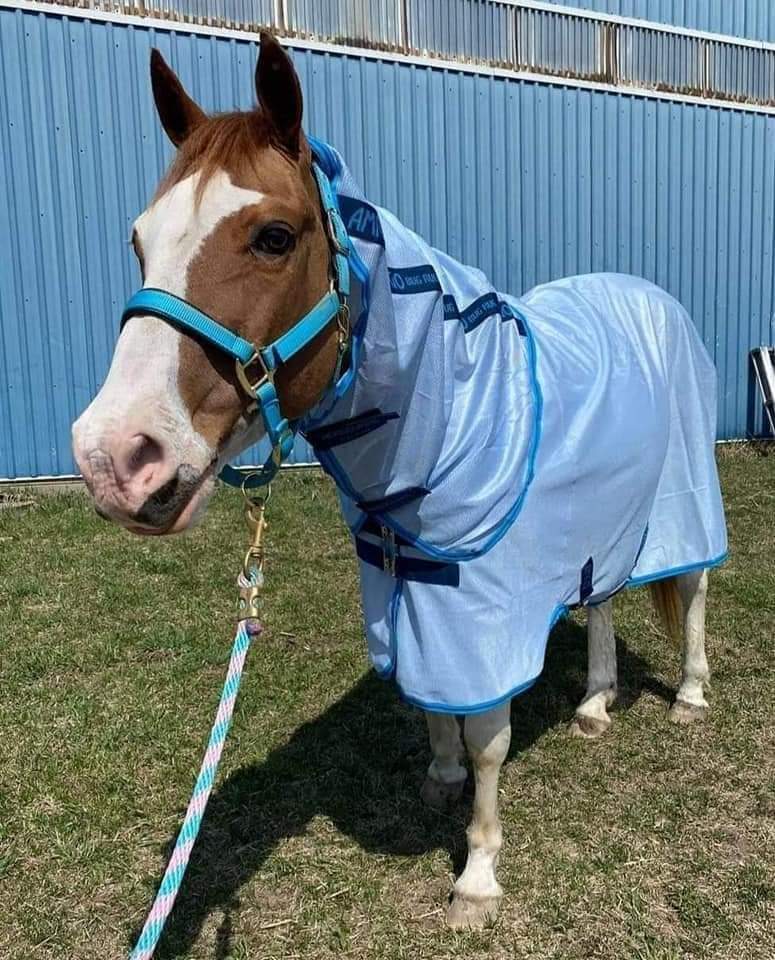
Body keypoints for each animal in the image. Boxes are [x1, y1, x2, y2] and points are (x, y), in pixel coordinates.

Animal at [72, 34, 727, 929]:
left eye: (273, 236)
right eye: (141, 240)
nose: (114, 458)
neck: (448, 415)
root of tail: (650, 298)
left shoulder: (479, 606)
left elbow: (489, 738)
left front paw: (477, 876)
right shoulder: (404, 591)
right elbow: (429, 703)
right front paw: (440, 779)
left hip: (681, 505)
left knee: (691, 591)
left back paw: (690, 694)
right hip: (601, 517)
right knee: (599, 597)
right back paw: (593, 705)